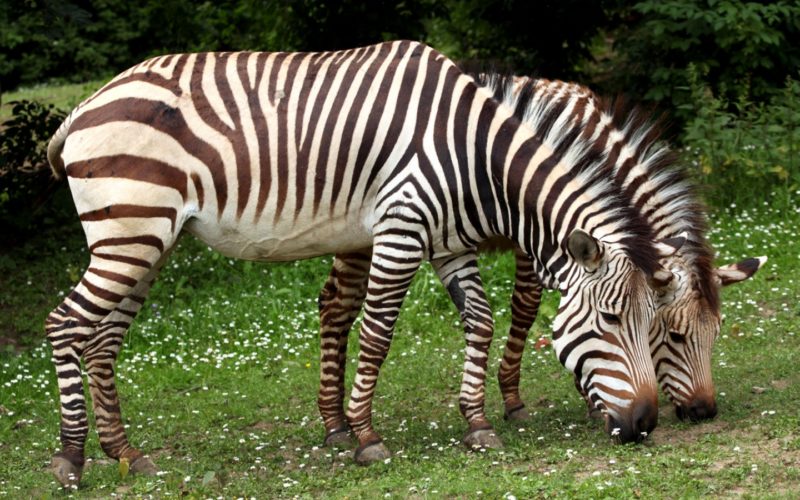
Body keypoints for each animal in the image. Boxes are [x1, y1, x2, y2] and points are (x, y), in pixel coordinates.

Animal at [44, 41, 680, 487]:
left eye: (656, 326)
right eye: (610, 323)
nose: (646, 424)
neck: (475, 157)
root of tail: (82, 107)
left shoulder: (448, 243)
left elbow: (480, 321)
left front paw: (476, 422)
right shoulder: (401, 229)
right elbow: (377, 333)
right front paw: (366, 437)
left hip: (149, 239)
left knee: (103, 340)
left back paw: (125, 454)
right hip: (131, 229)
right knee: (66, 324)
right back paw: (71, 458)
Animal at [316, 75, 765, 446]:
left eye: (717, 333)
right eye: (674, 335)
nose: (704, 411)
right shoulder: (533, 237)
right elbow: (527, 307)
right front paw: (518, 399)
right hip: (361, 234)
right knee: (335, 305)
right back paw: (337, 425)